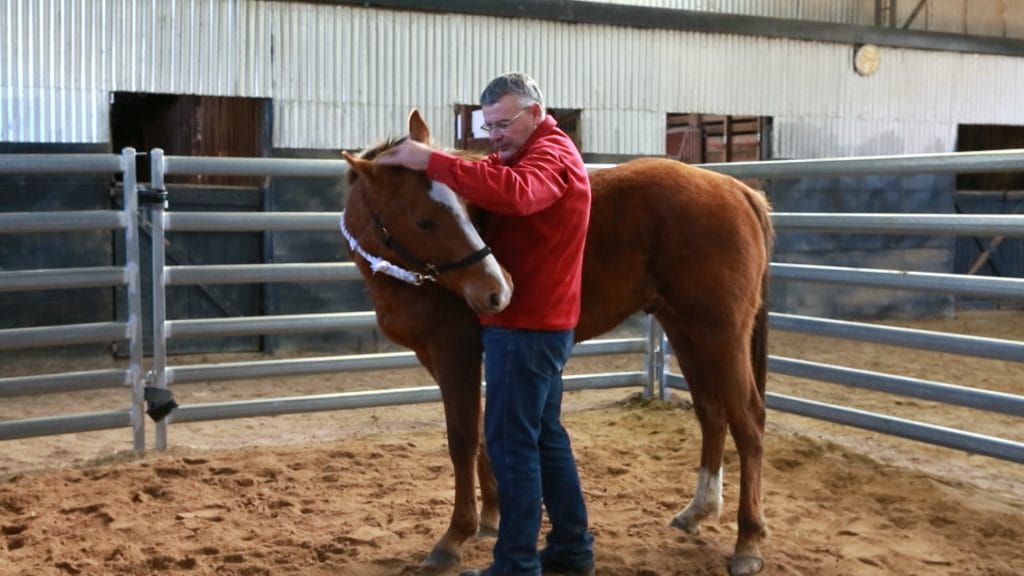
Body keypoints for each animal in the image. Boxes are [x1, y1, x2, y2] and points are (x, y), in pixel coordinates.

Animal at [340, 110, 773, 576]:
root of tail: (736, 189)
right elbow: (481, 432)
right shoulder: (438, 357)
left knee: (748, 422)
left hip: (722, 335)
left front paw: (455, 536)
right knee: (712, 413)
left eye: (465, 211)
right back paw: (697, 511)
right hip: (686, 330)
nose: (497, 291)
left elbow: (462, 437)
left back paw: (748, 541)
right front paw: (492, 517)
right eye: (424, 220)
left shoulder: (456, 353)